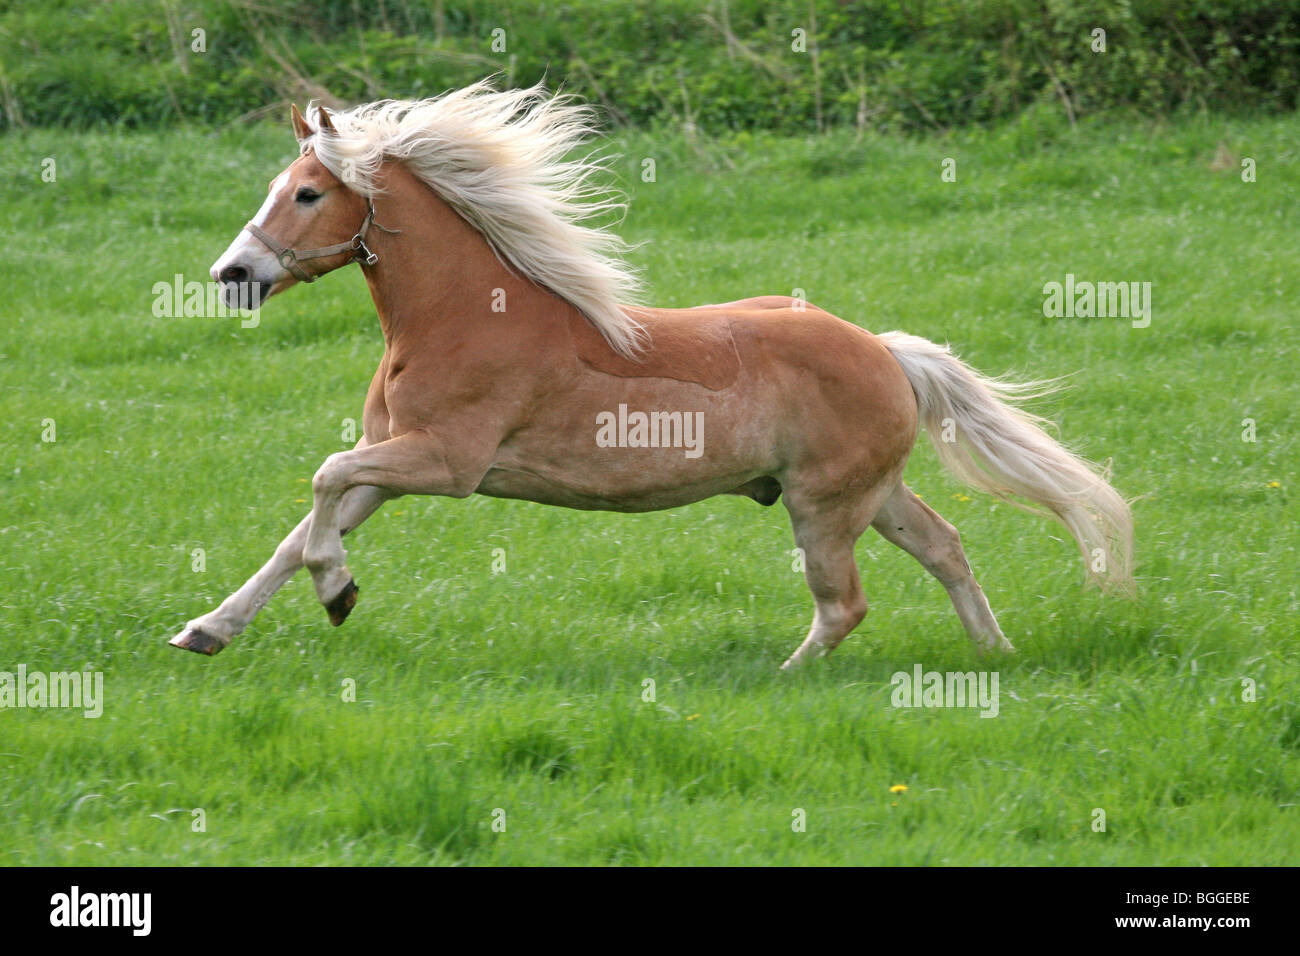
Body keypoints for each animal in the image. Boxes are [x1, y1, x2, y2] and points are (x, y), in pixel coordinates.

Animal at [171, 82, 1134, 669]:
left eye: (306, 193)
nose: (232, 274)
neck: (458, 317)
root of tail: (885, 350)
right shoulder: (395, 461)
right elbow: (302, 530)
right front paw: (208, 631)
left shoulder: (445, 464)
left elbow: (322, 483)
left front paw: (338, 594)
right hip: (869, 493)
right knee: (945, 547)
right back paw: (994, 655)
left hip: (823, 506)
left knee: (845, 604)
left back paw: (782, 676)